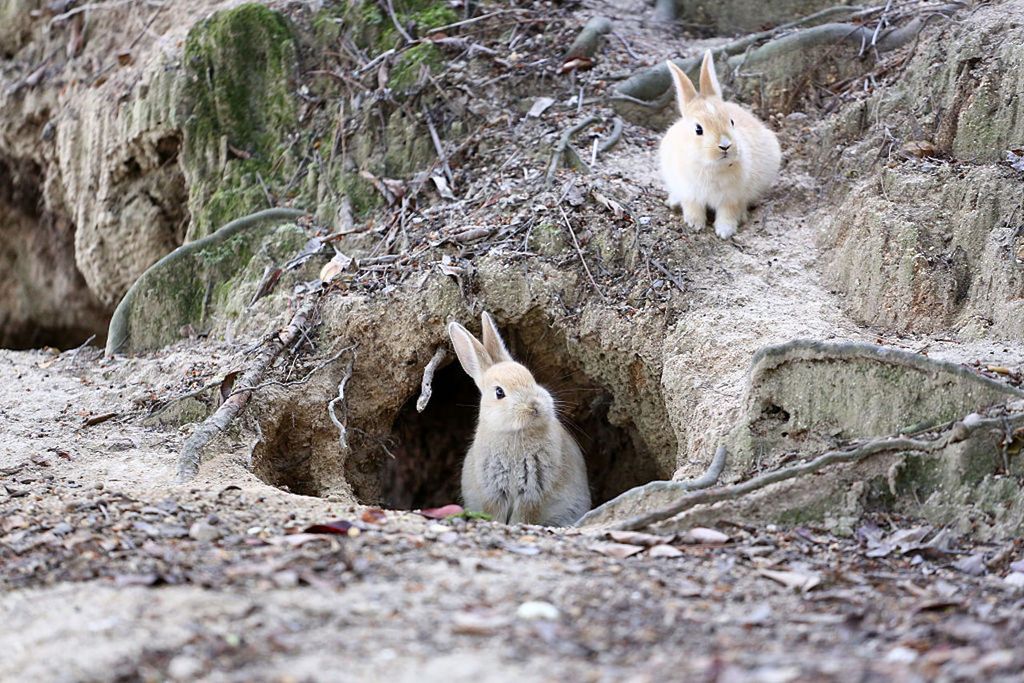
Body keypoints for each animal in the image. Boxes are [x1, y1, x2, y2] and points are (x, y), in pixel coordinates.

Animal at [447, 312, 591, 527]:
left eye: (531, 378)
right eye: (499, 392)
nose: (535, 406)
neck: (514, 433)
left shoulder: (533, 490)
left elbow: (524, 515)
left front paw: (516, 525)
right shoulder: (494, 489)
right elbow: (496, 511)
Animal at [659, 49, 781, 239]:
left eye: (731, 121)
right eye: (698, 129)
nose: (725, 145)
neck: (711, 166)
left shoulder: (731, 197)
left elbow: (728, 212)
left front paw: (725, 231)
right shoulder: (690, 193)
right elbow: (692, 207)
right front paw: (695, 224)